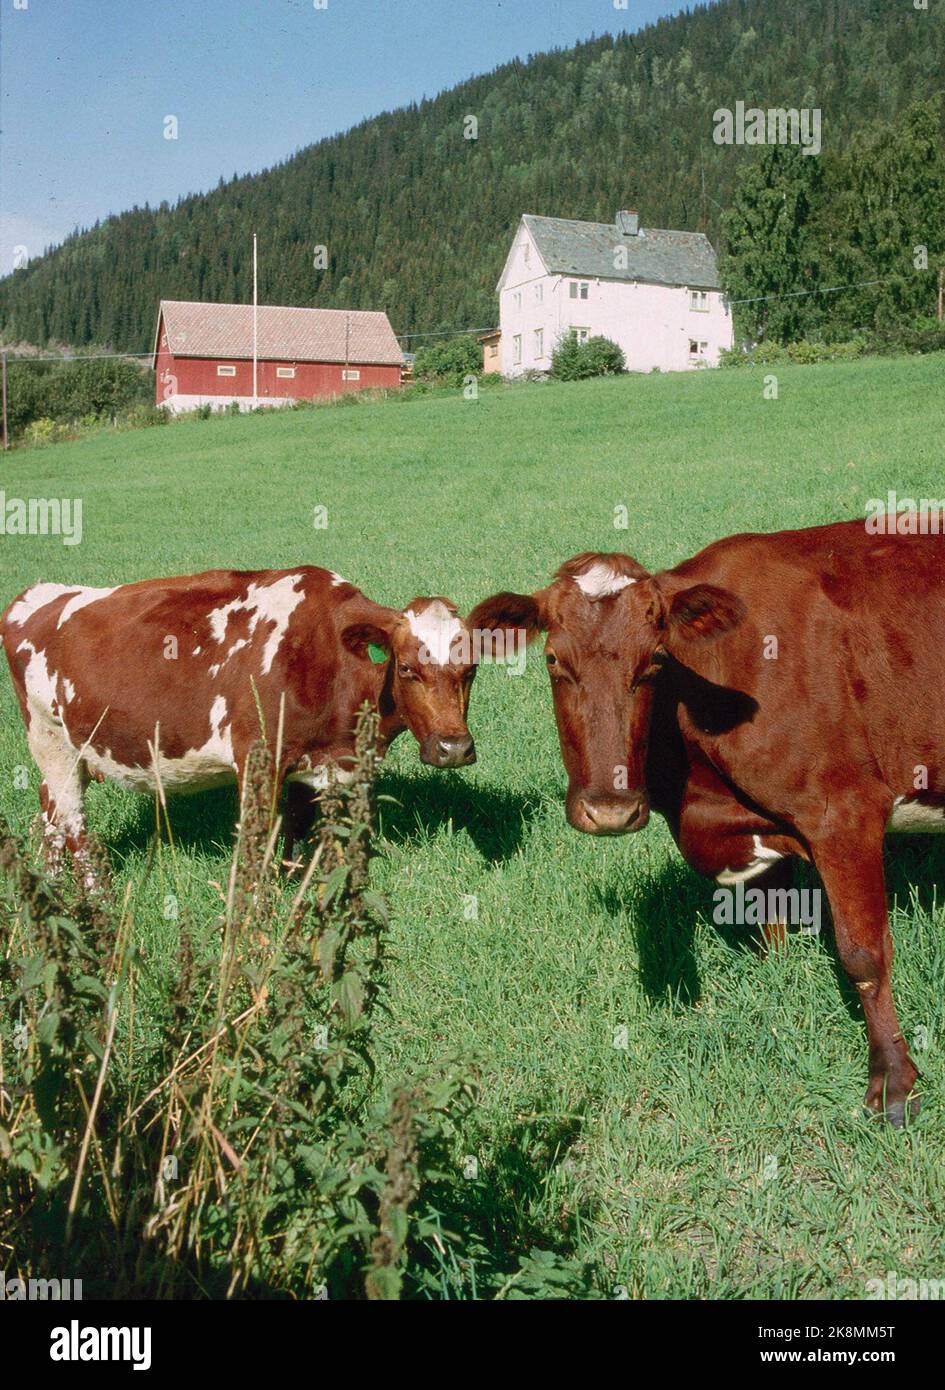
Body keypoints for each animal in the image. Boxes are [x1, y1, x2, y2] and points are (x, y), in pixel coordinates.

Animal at [2, 565, 477, 880]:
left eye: (471, 670)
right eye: (408, 669)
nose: (453, 748)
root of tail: (40, 593)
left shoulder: (312, 763)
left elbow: (297, 834)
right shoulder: (258, 757)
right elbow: (257, 847)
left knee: (49, 813)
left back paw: (54, 884)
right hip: (51, 742)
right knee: (74, 824)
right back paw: (93, 895)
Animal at [470, 521, 945, 1125]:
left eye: (654, 660)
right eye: (553, 659)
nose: (610, 810)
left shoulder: (844, 812)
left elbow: (864, 954)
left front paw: (893, 1086)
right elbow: (770, 925)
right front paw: (777, 992)